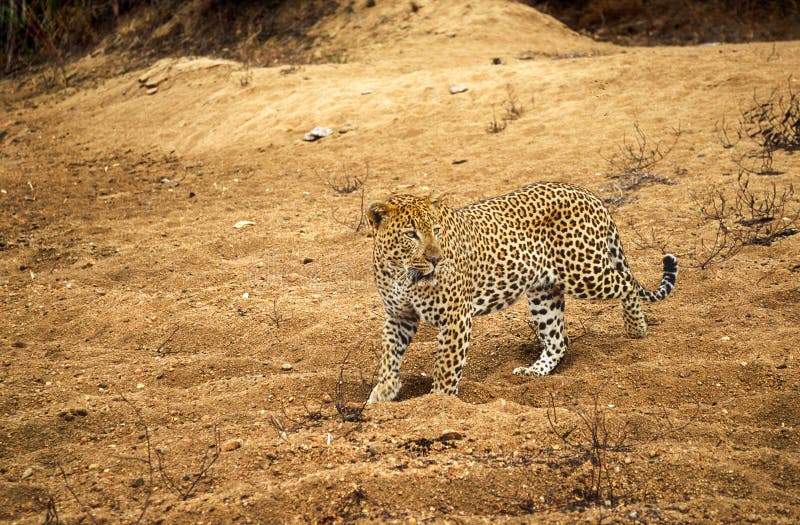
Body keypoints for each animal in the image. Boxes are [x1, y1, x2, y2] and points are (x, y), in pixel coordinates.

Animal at [366, 182, 677, 403]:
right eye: (411, 234)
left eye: (437, 230)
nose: (436, 259)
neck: (401, 273)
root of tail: (588, 194)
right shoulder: (399, 316)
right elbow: (388, 357)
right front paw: (382, 393)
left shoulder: (455, 316)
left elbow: (445, 366)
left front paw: (437, 403)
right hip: (544, 292)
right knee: (557, 340)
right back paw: (533, 372)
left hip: (584, 272)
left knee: (627, 282)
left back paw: (636, 328)